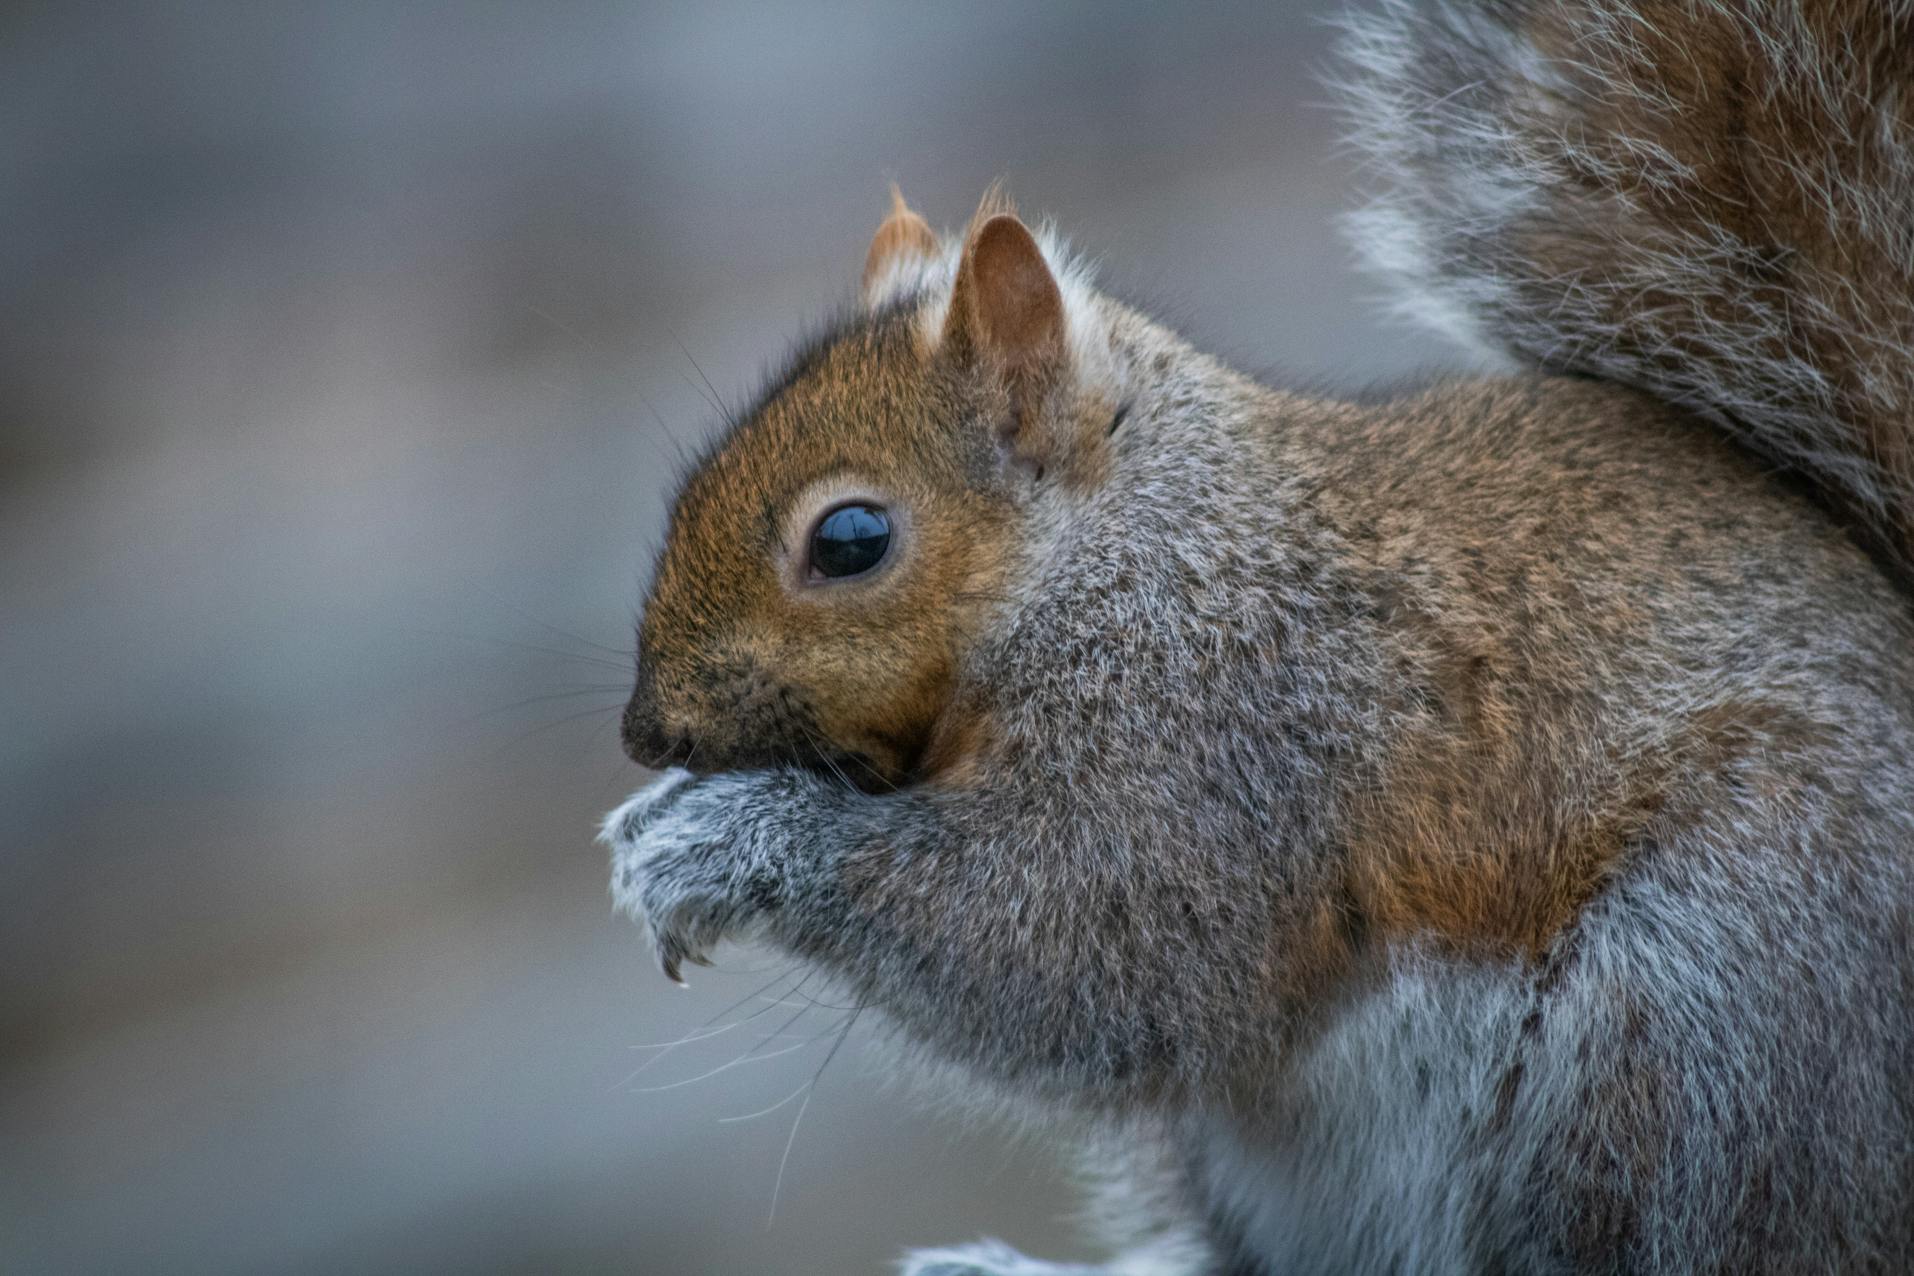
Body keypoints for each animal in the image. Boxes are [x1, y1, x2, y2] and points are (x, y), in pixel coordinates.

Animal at [603, 1, 1914, 1272]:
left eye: (851, 539)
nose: (647, 730)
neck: (1129, 548)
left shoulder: (1227, 734)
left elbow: (1072, 949)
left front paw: (717, 841)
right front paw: (654, 816)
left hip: (1693, 1041)